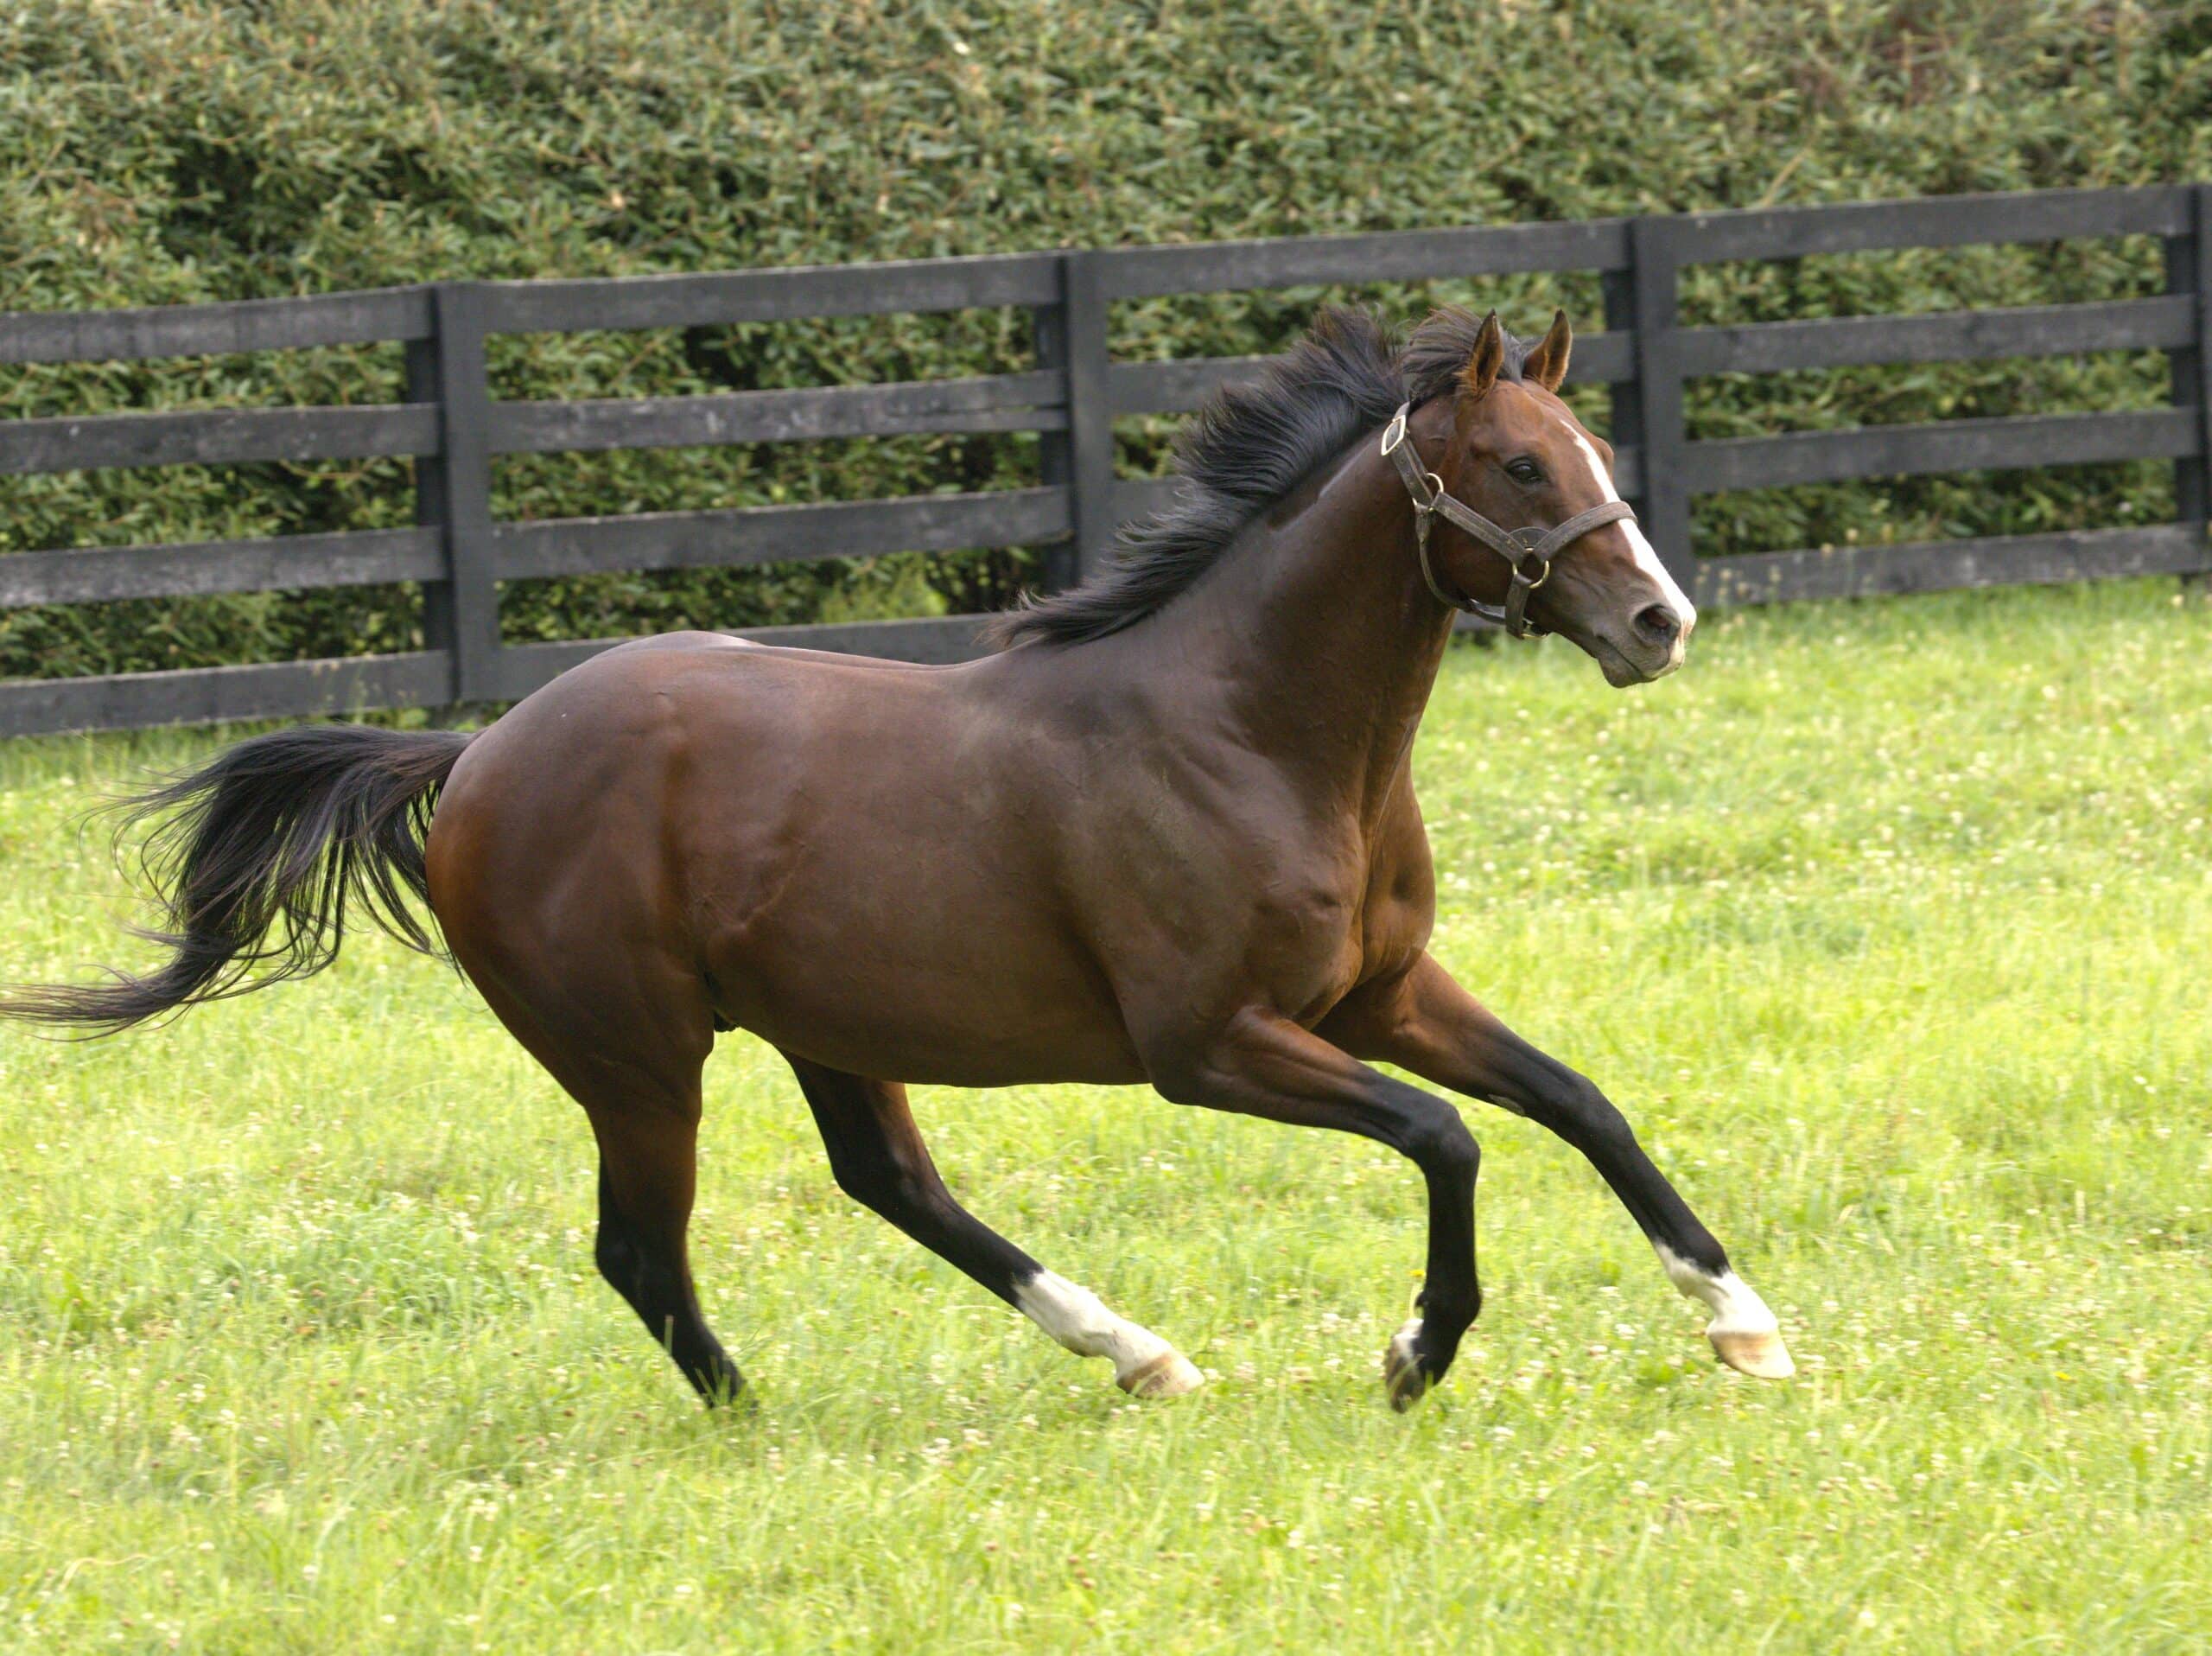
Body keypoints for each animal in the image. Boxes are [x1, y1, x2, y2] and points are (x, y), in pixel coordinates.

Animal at [3, 306, 1794, 1409]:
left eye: (1587, 449)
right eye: (1516, 465)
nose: (1661, 623)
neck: (1257, 734)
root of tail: (479, 754)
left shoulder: (1381, 992)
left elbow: (1576, 1103)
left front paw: (1744, 1325)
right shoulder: (1213, 1047)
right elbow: (1449, 1141)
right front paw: (1419, 1350)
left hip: (824, 1024)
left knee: (892, 1183)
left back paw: (1134, 1353)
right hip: (638, 1058)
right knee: (643, 1250)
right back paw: (753, 1414)